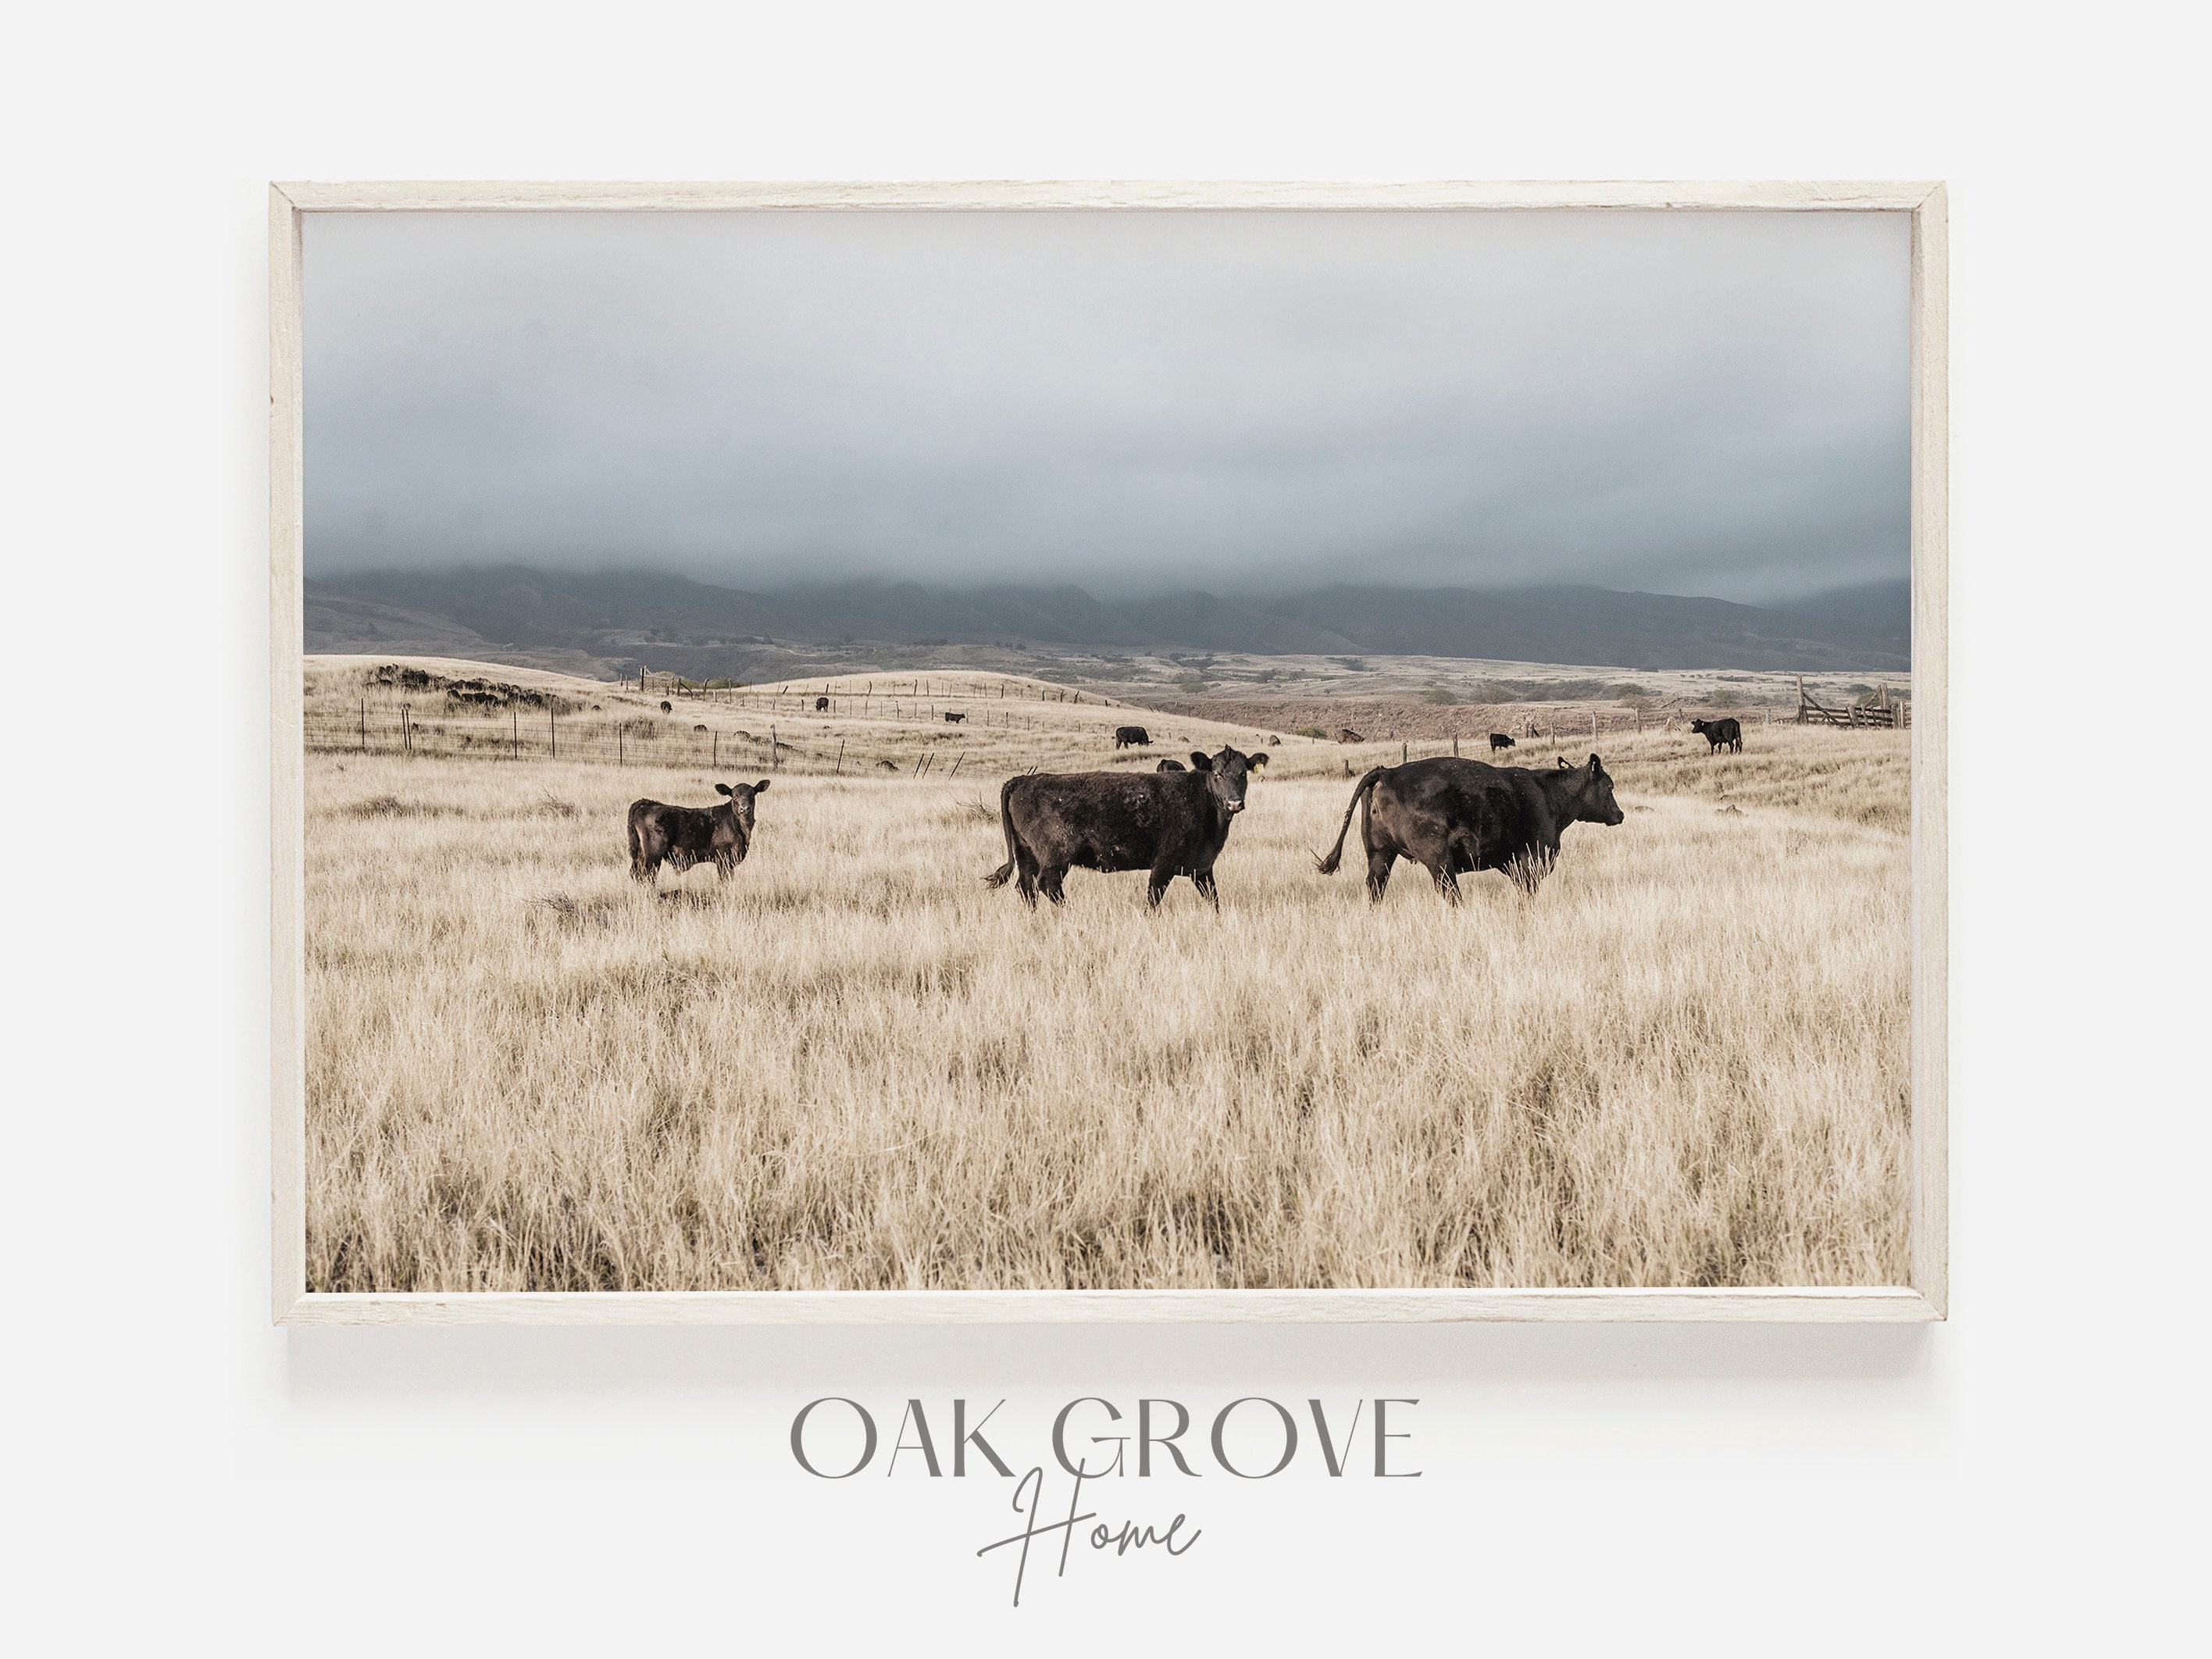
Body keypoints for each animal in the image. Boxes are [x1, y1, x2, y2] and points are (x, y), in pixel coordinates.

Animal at [626, 781, 770, 886]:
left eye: (752, 795)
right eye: (734, 796)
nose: (744, 809)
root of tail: (649, 804)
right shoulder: (723, 859)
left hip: (639, 855)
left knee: (635, 874)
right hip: (652, 856)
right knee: (647, 876)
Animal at [984, 747, 1267, 910]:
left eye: (1243, 774)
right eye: (1217, 774)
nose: (1234, 802)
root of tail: (1022, 780)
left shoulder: (1203, 868)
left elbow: (1213, 900)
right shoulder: (1163, 863)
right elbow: (1153, 899)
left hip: (1026, 853)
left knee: (1026, 886)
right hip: (1055, 855)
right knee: (1047, 885)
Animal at [1314, 754, 1623, 903]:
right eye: (1609, 786)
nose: (1619, 815)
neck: (1548, 795)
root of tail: (1388, 771)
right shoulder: (1531, 859)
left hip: (1380, 852)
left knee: (1376, 885)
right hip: (1438, 859)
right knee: (1449, 891)